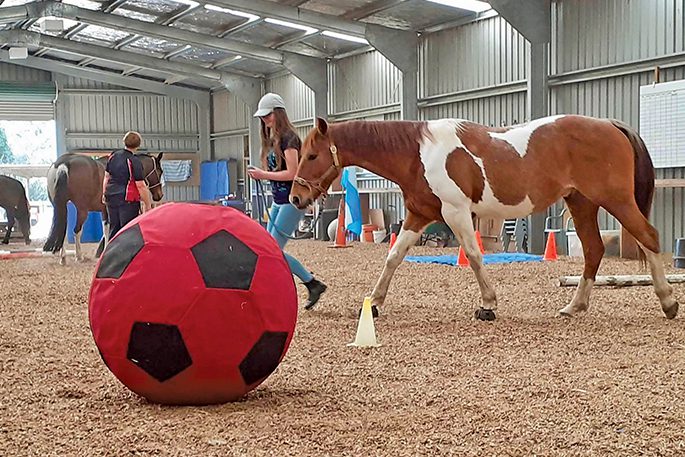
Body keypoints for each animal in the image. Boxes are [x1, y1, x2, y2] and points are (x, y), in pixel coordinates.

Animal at [290, 115, 679, 321]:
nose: (296, 197)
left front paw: (488, 305)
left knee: (649, 237)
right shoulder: (419, 214)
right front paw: (374, 303)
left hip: (616, 201)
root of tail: (612, 125)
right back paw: (574, 306)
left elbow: (475, 256)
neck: (419, 153)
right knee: (594, 250)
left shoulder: (456, 212)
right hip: (582, 203)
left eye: (312, 155)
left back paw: (668, 302)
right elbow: (393, 257)